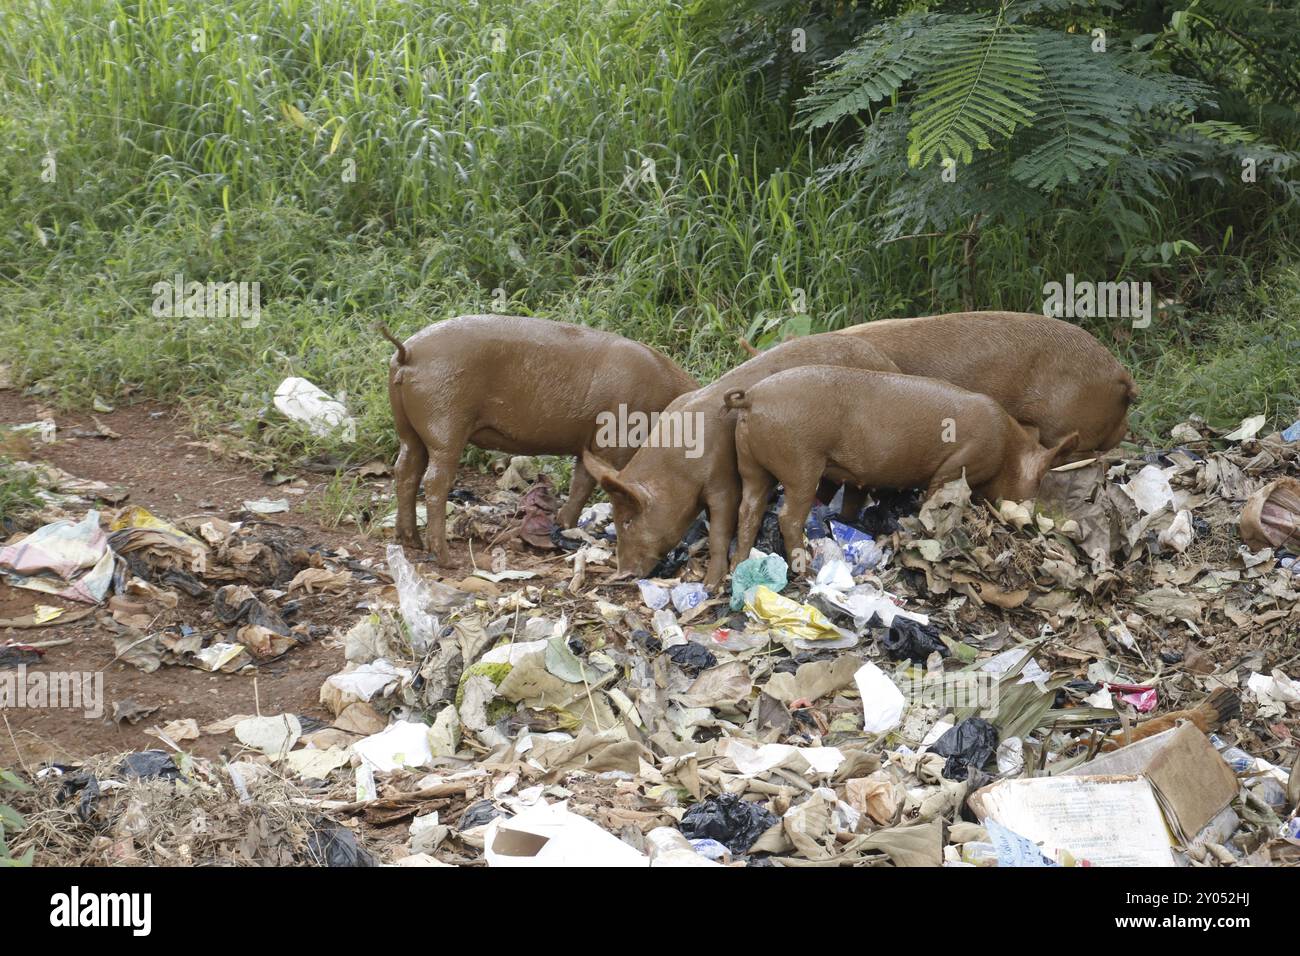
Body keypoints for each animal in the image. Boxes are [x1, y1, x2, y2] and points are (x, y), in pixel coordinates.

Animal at [379, 315, 697, 565]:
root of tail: (408, 352)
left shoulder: (589, 445)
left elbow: (581, 482)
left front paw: (563, 526)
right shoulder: (616, 440)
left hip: (408, 427)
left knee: (405, 469)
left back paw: (410, 541)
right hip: (446, 420)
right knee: (434, 480)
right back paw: (446, 559)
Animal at [581, 334, 899, 587]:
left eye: (628, 520)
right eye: (617, 519)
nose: (621, 573)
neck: (677, 469)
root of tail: (887, 362)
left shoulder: (723, 483)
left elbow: (720, 533)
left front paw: (710, 585)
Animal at [726, 366, 1079, 573]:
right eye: (1036, 485)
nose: (1030, 522)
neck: (1007, 448)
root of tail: (752, 397)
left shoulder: (857, 479)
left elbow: (852, 500)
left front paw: (851, 524)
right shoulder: (958, 465)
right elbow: (936, 496)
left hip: (751, 463)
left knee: (748, 509)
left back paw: (737, 566)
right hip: (800, 461)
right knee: (788, 516)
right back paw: (807, 568)